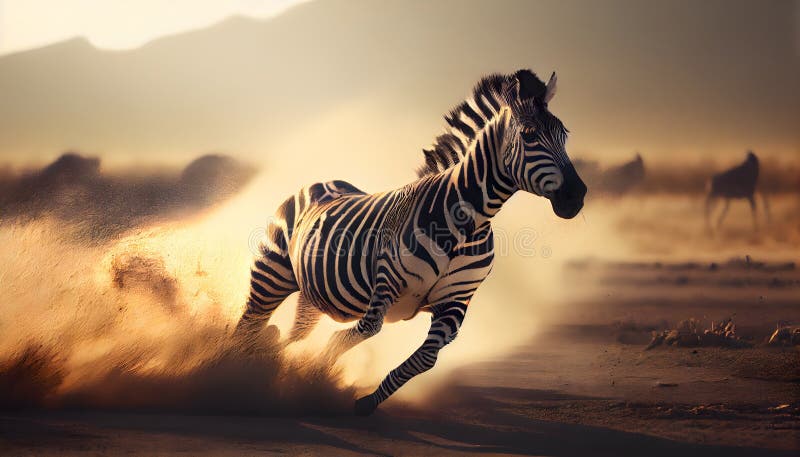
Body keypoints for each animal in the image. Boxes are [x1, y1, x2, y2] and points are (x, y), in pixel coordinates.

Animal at [234, 69, 587, 415]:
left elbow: (426, 359)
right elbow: (358, 333)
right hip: (271, 274)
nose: (577, 196)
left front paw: (366, 402)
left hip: (313, 295)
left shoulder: (456, 302)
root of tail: (321, 182)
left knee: (291, 334)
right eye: (529, 135)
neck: (469, 222)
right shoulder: (386, 283)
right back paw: (235, 370)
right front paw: (313, 375)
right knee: (248, 326)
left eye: (565, 135)